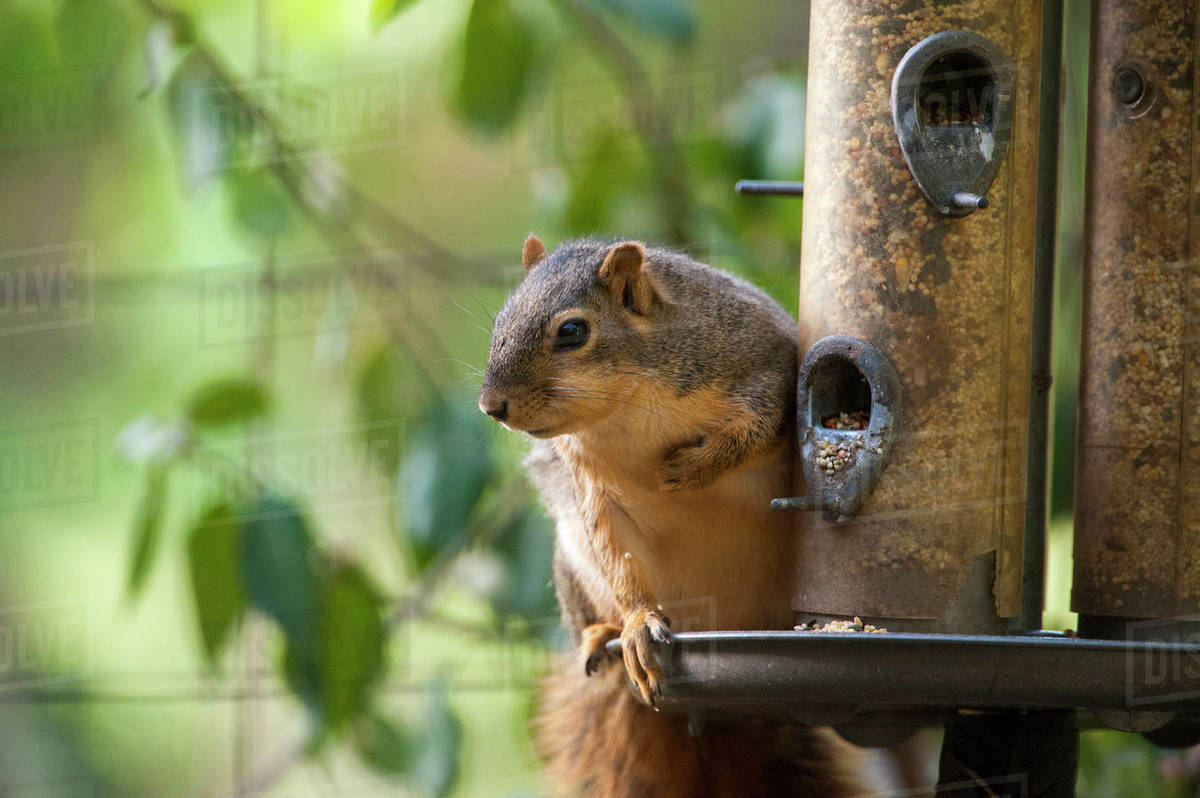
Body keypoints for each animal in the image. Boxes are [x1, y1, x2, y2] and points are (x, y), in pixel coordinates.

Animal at [479, 235, 861, 797]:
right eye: (500, 320)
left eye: (572, 331)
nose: (491, 405)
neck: (625, 408)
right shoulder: (593, 489)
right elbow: (615, 553)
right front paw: (639, 624)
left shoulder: (759, 361)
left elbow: (762, 421)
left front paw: (695, 467)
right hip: (570, 566)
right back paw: (602, 636)